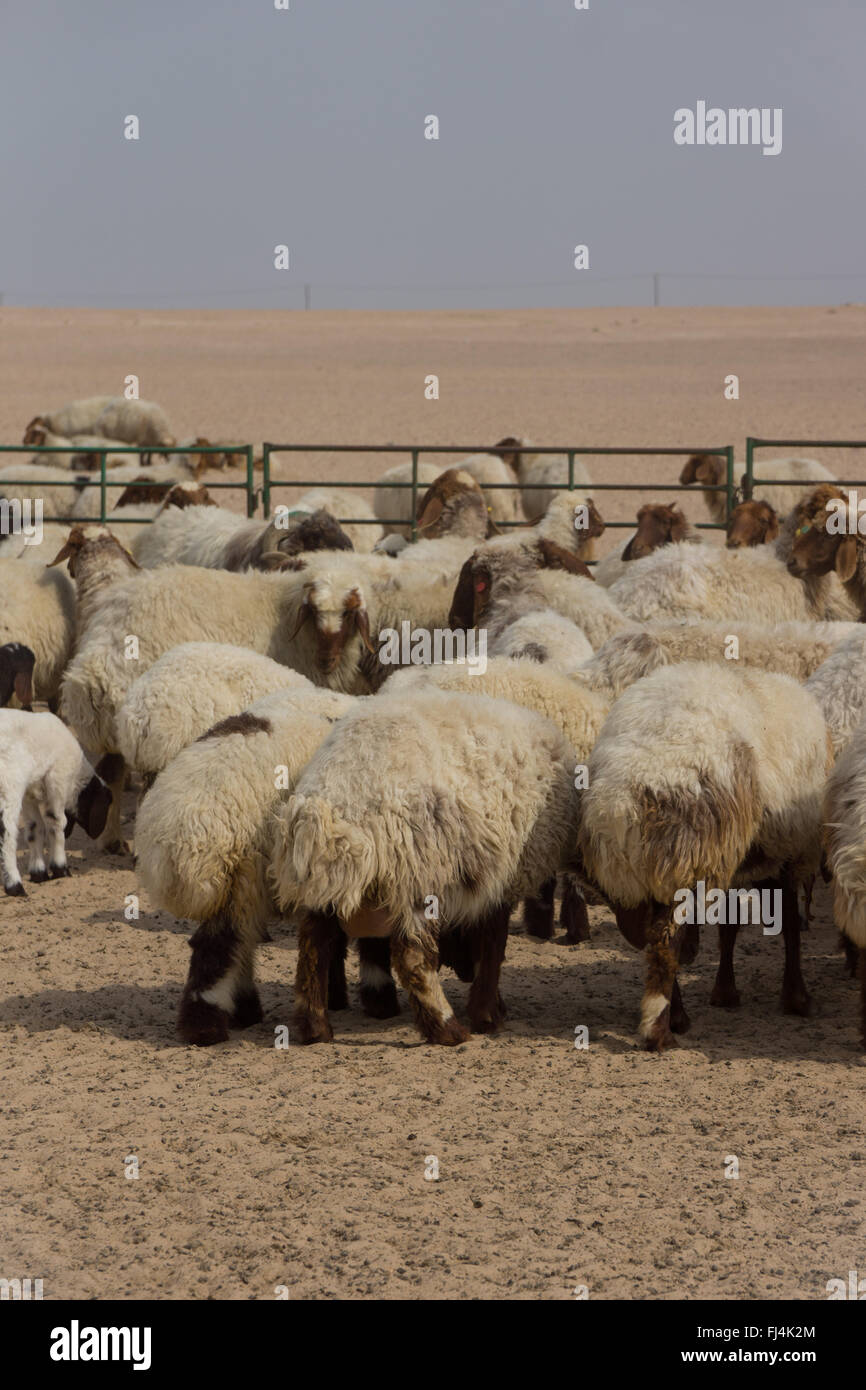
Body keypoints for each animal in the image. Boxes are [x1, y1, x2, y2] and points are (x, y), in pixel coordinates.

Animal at [0, 710, 111, 894]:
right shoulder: (57, 779)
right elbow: (56, 823)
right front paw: (60, 869)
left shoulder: (29, 793)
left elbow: (35, 827)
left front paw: (39, 873)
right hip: (9, 786)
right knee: (7, 834)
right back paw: (14, 885)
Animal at [134, 686, 357, 1044]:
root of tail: (179, 832)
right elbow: (330, 939)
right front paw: (335, 997)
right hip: (243, 875)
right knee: (219, 948)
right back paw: (207, 1026)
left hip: (233, 885)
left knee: (231, 944)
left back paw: (240, 1011)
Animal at [271, 685, 579, 1044]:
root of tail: (337, 796)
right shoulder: (499, 882)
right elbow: (492, 945)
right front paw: (488, 1015)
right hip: (419, 874)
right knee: (412, 959)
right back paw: (447, 1029)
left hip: (331, 880)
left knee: (313, 947)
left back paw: (315, 1027)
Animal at [577, 663, 831, 1050]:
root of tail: (623, 800)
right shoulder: (786, 853)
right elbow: (788, 924)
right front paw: (797, 999)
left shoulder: (739, 861)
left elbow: (730, 926)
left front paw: (725, 992)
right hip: (686, 862)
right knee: (666, 944)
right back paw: (661, 1030)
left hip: (634, 883)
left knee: (651, 940)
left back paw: (673, 1015)